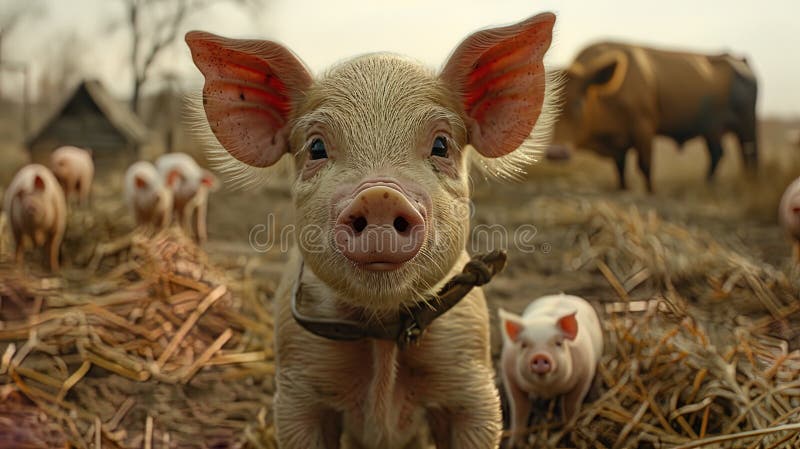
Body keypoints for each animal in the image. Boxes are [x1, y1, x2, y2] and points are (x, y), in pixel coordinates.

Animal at [186, 11, 558, 449]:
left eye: (441, 145)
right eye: (316, 148)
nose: (380, 195)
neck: (382, 333)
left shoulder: (472, 381)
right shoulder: (297, 390)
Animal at [499, 294, 603, 448]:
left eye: (558, 343)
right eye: (524, 345)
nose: (540, 356)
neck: (547, 388)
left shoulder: (585, 374)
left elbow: (571, 406)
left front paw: (572, 439)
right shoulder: (509, 377)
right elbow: (519, 410)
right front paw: (514, 444)